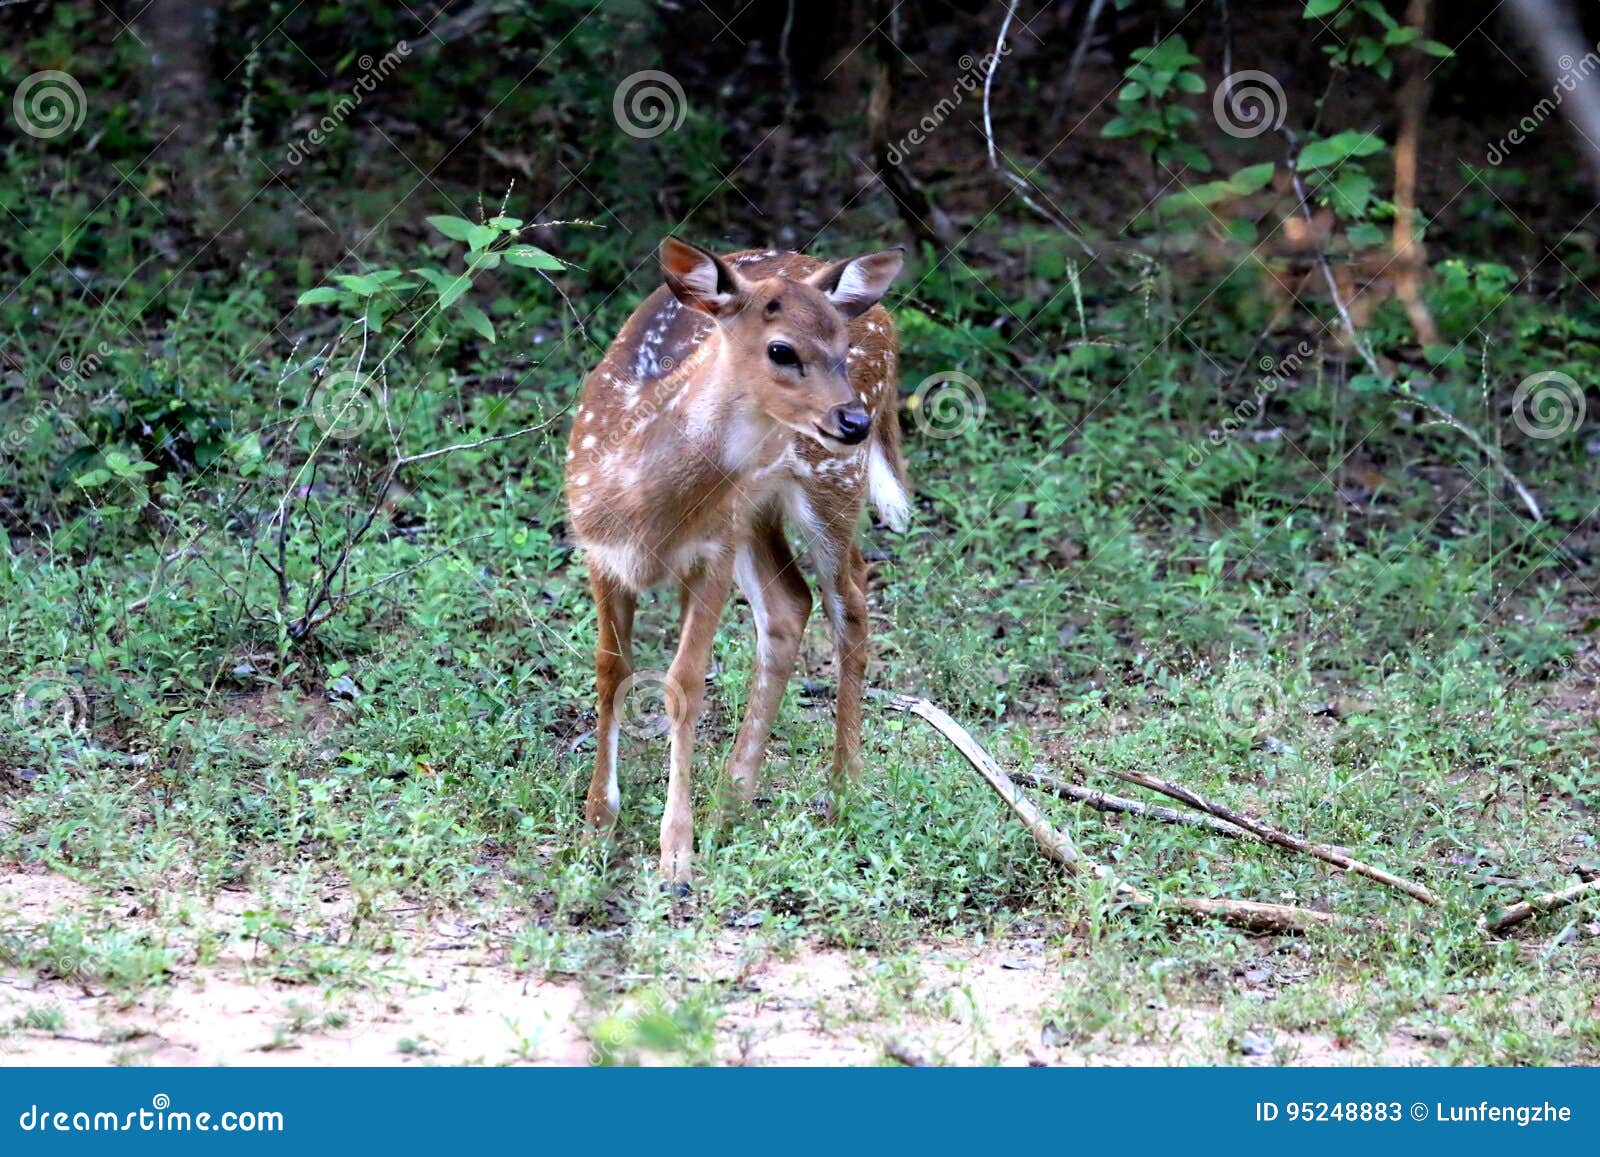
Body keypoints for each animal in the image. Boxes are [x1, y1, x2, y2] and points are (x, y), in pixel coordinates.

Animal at [564, 236, 908, 887]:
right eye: (781, 349)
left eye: (840, 349)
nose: (854, 421)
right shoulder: (599, 553)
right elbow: (611, 672)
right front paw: (597, 827)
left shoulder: (712, 554)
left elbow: (684, 683)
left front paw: (675, 854)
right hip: (755, 512)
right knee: (790, 603)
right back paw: (732, 798)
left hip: (829, 482)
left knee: (849, 602)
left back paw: (843, 790)